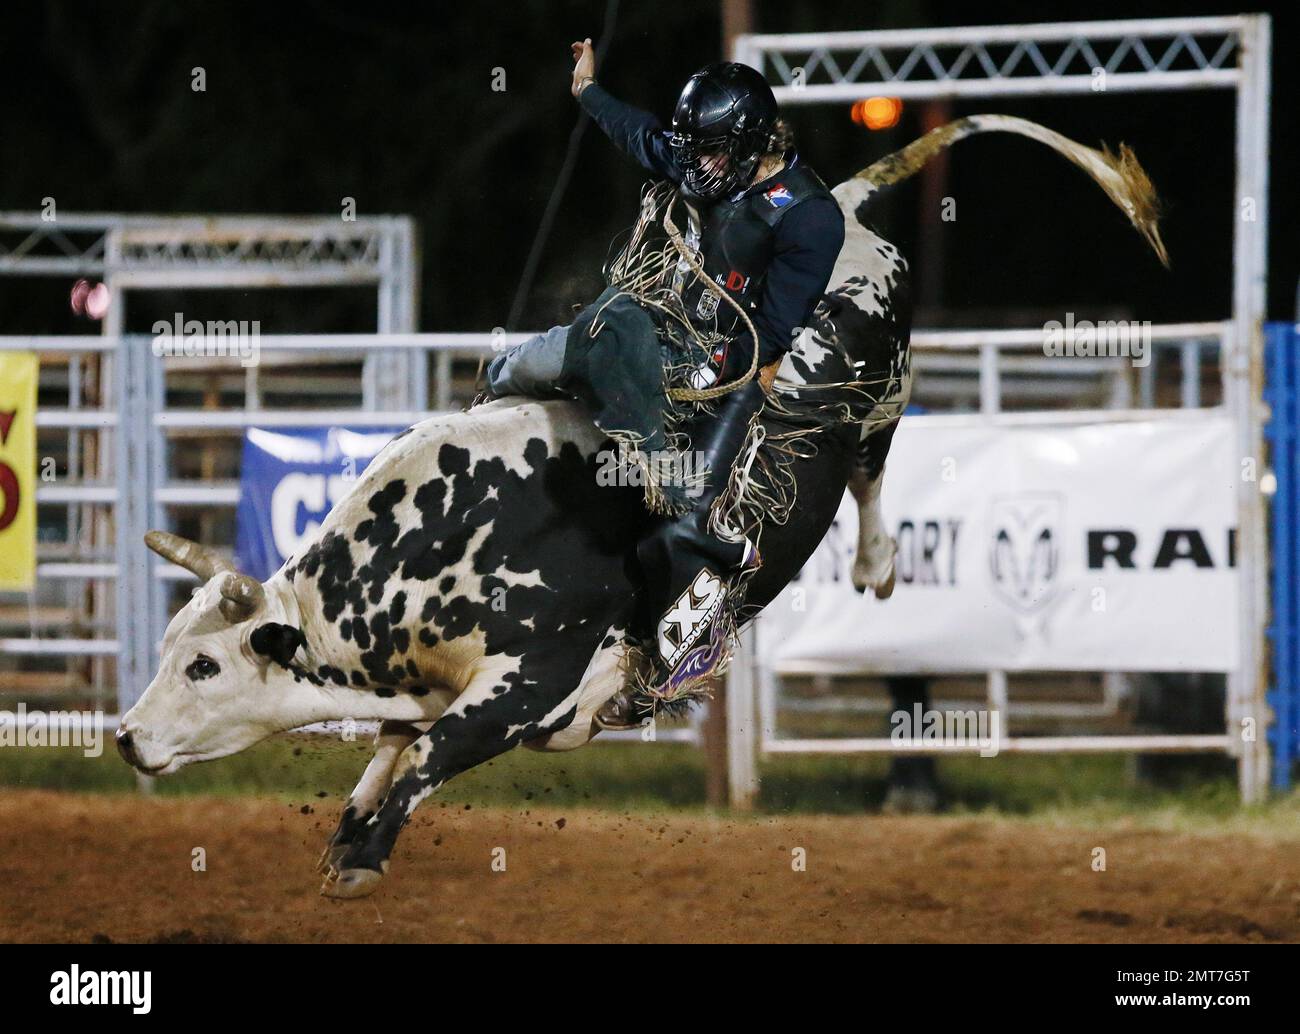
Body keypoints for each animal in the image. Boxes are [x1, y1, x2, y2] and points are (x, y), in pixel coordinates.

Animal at [115, 116, 1166, 898]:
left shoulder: (528, 682)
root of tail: (840, 208)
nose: (124, 737)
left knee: (873, 463)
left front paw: (363, 860)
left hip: (883, 386)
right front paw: (345, 836)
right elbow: (388, 754)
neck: (440, 545)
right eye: (169, 647)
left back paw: (875, 563)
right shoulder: (420, 688)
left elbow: (426, 758)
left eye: (205, 665)